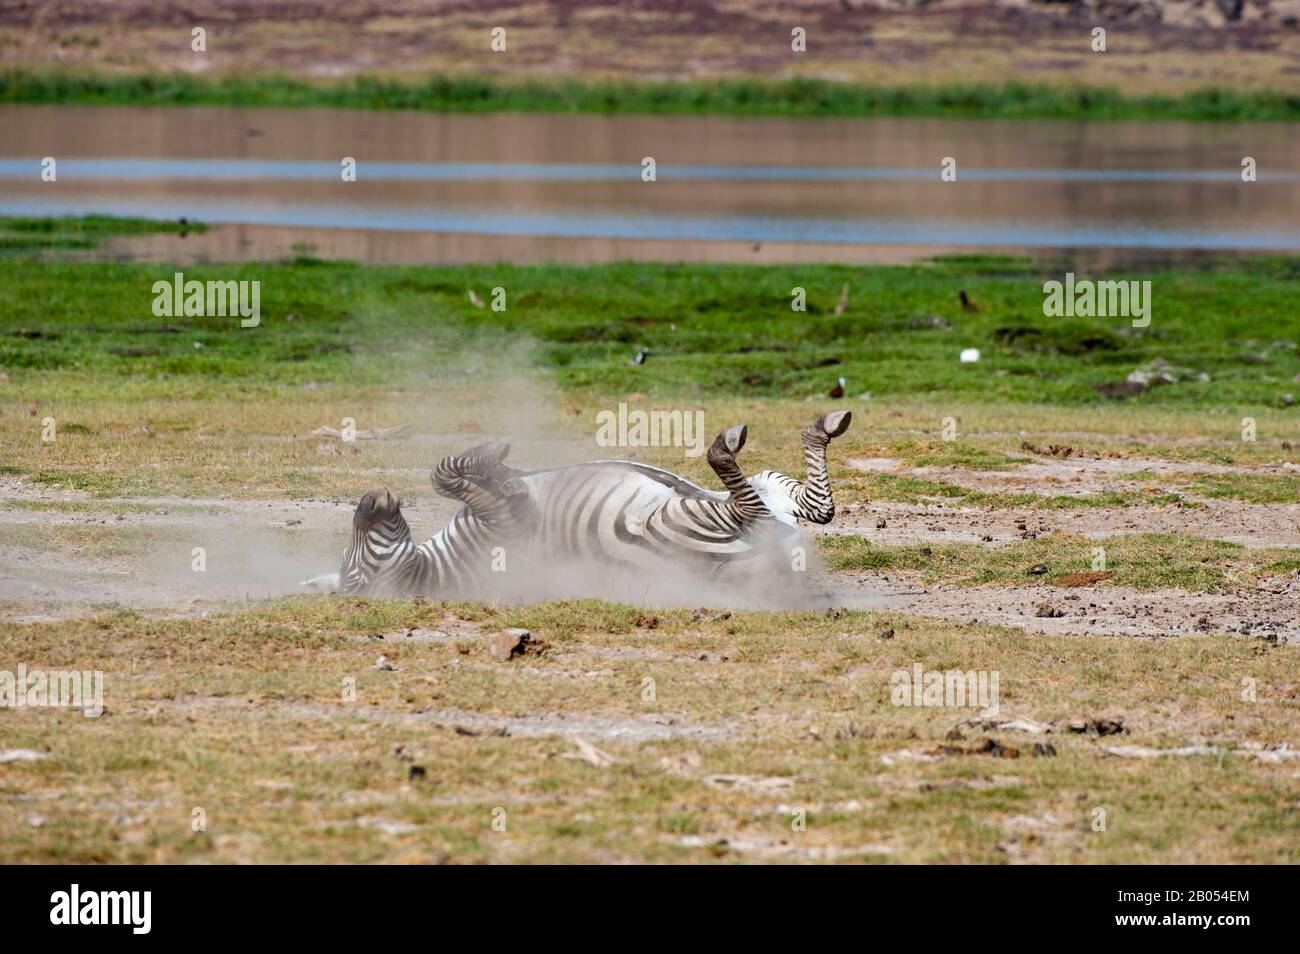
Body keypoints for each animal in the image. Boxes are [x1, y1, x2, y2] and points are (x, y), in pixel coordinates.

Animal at [306, 411, 851, 598]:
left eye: (349, 559)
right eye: (356, 577)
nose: (368, 500)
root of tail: (775, 568)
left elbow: (453, 473)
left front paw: (496, 464)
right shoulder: (506, 528)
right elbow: (447, 477)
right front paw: (495, 469)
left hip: (762, 495)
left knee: (815, 506)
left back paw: (823, 426)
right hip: (682, 519)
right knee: (756, 507)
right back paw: (729, 444)